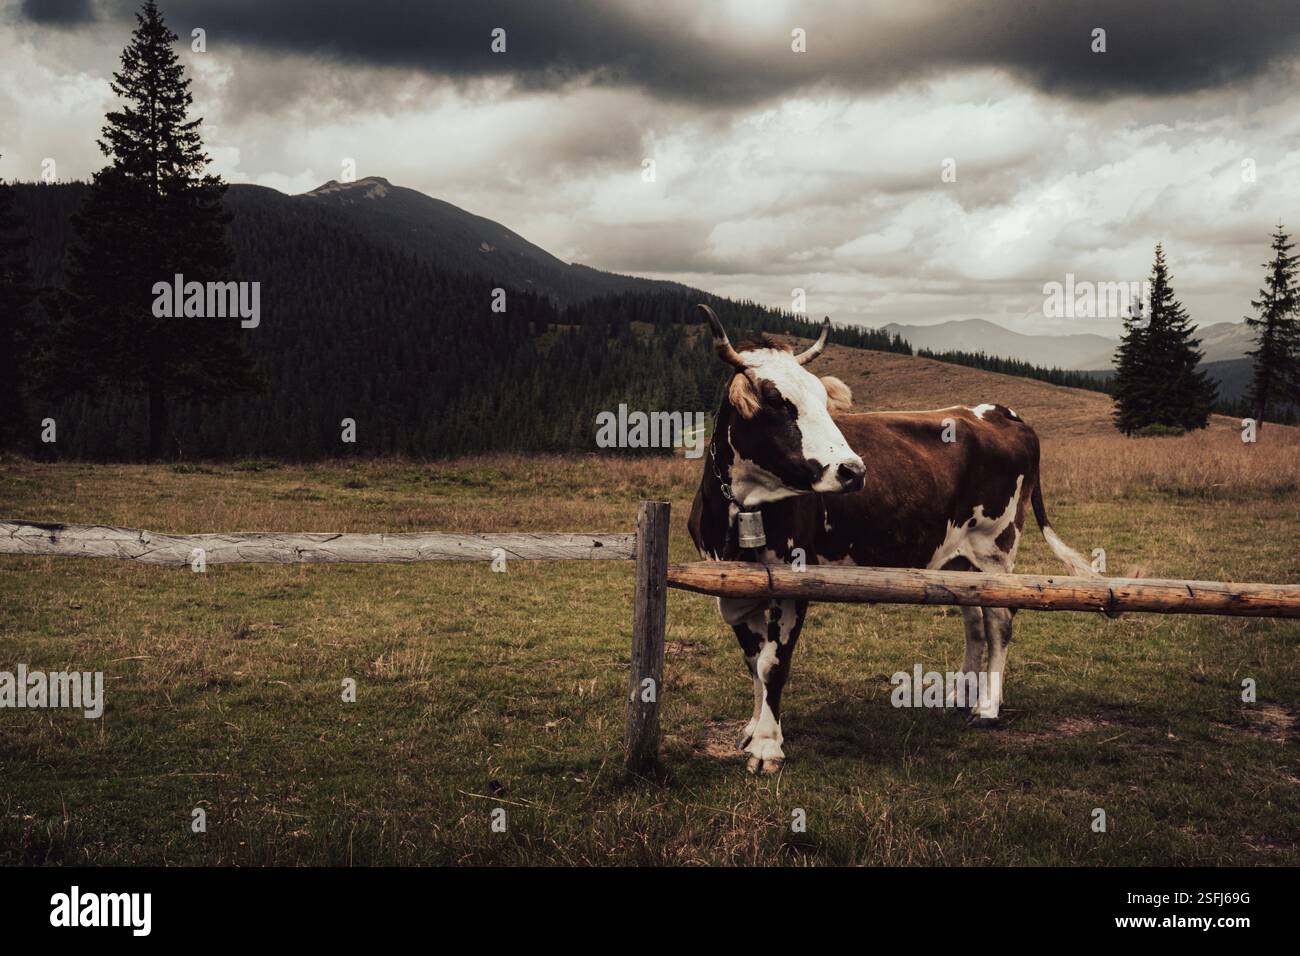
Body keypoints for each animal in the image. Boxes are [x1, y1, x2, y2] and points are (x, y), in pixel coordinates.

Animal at [687, 304, 1097, 774]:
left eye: (822, 399)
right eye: (776, 400)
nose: (853, 470)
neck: (739, 508)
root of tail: (1000, 412)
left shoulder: (793, 586)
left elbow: (773, 664)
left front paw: (768, 747)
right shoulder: (734, 588)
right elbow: (753, 661)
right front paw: (753, 729)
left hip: (996, 546)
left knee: (999, 622)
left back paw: (988, 707)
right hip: (960, 559)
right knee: (974, 622)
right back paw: (962, 694)